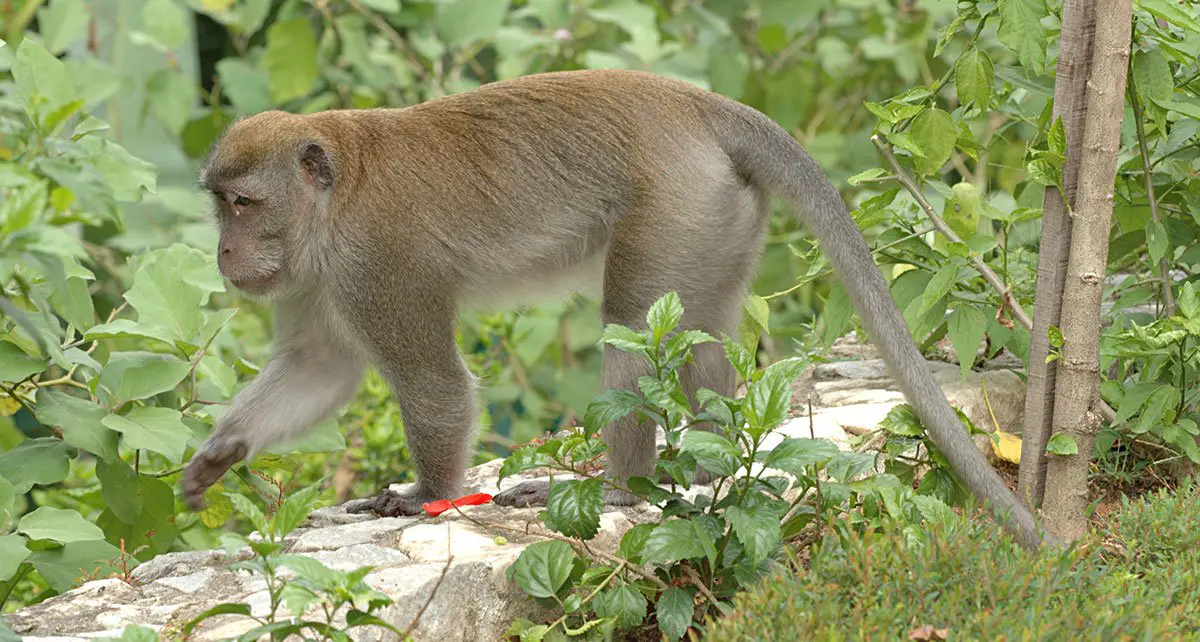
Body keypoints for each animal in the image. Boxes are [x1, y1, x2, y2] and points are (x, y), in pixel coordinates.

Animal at [183, 69, 1048, 548]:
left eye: (243, 203)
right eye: (220, 206)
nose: (224, 253)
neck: (331, 204)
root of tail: (698, 107)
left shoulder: (375, 264)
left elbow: (434, 384)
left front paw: (424, 494)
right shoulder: (314, 276)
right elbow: (318, 367)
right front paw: (219, 453)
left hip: (674, 204)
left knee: (633, 326)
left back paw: (624, 488)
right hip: (718, 215)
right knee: (697, 336)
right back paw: (708, 466)